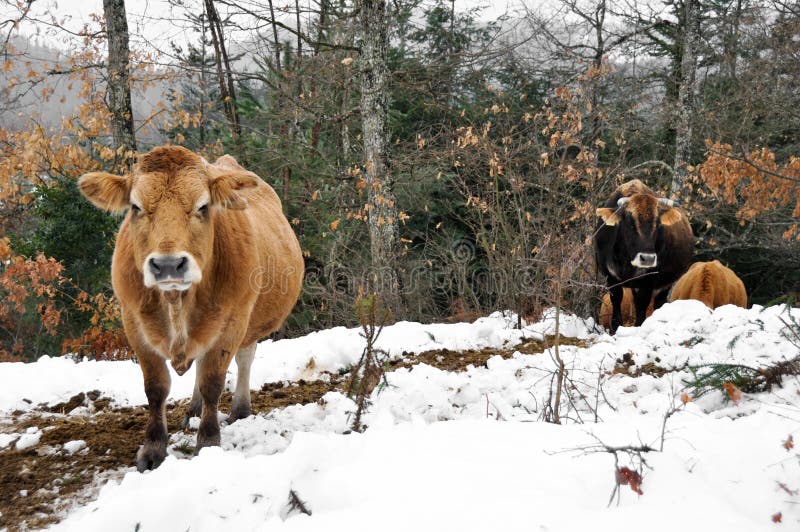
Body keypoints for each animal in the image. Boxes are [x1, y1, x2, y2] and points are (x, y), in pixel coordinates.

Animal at [78, 146, 303, 471]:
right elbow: (156, 387)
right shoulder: (133, 323)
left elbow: (212, 382)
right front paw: (153, 448)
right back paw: (194, 410)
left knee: (244, 359)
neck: (177, 302)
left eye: (203, 206)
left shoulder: (233, 321)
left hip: (249, 320)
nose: (168, 264)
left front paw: (208, 442)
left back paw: (239, 409)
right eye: (135, 206)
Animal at [593, 179, 693, 334]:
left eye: (658, 223)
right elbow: (617, 299)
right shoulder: (611, 277)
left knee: (658, 302)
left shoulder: (649, 280)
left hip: (665, 283)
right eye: (630, 221)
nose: (648, 258)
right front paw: (615, 328)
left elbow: (642, 305)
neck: (625, 259)